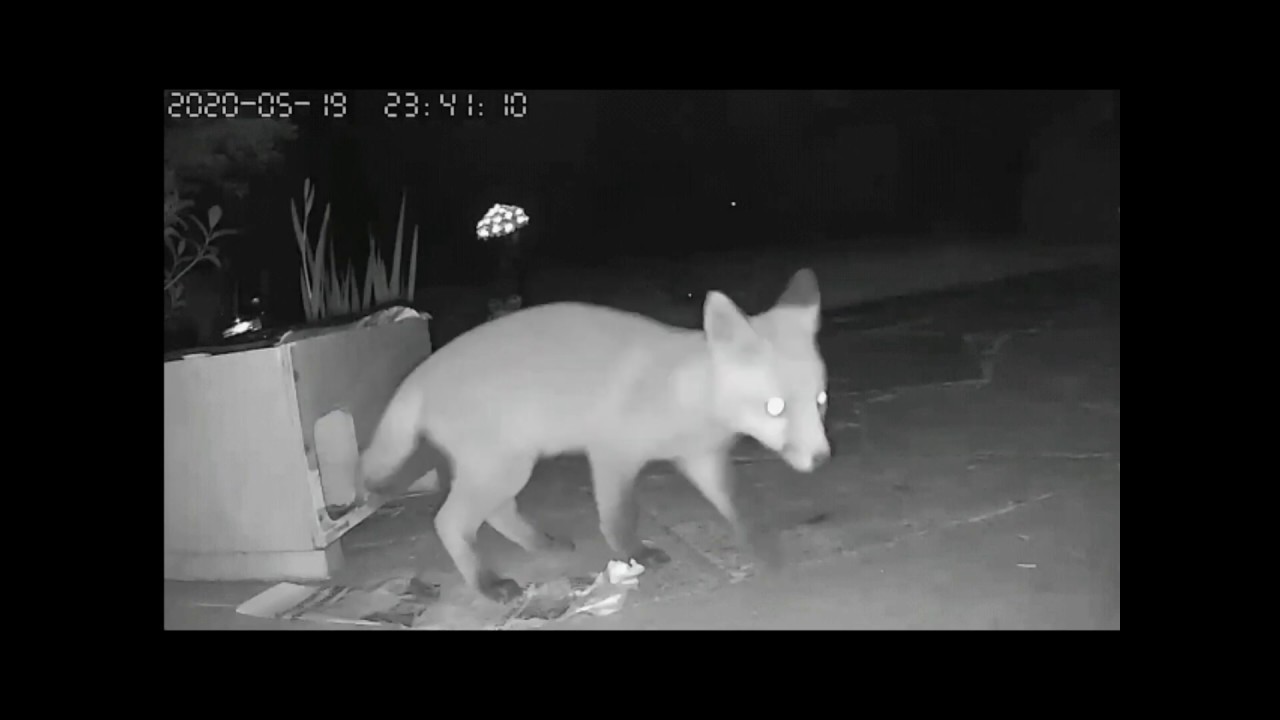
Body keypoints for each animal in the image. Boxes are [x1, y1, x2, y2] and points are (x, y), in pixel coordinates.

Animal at [360, 268, 832, 603]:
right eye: (776, 407)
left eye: (821, 400)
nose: (822, 458)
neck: (685, 395)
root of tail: (420, 372)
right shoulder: (612, 453)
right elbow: (619, 516)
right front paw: (635, 556)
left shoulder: (703, 459)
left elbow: (740, 505)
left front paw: (765, 549)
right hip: (504, 466)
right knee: (450, 521)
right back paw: (487, 583)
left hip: (506, 466)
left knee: (496, 511)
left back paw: (541, 543)